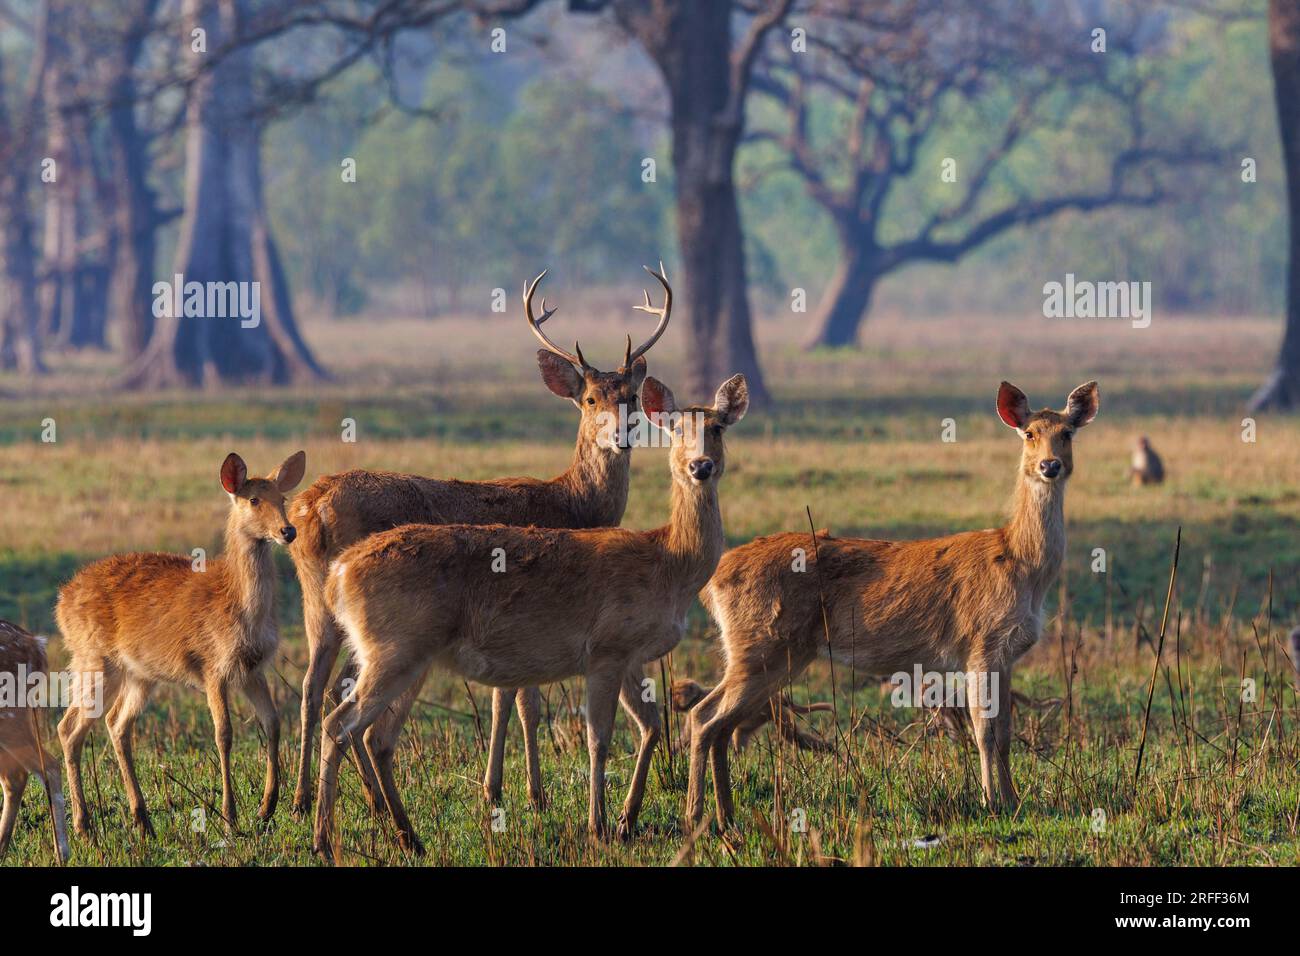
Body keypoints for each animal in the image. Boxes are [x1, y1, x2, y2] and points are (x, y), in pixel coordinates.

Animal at [56, 450, 305, 837]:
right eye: (253, 499)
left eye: (283, 498)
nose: (287, 531)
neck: (239, 605)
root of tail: (61, 600)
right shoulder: (212, 665)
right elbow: (224, 733)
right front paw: (229, 816)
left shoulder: (252, 669)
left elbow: (274, 722)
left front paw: (267, 809)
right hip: (93, 659)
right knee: (69, 728)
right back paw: (84, 826)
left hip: (139, 674)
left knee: (116, 723)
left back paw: (141, 820)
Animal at [287, 268, 672, 830]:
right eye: (589, 399)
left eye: (630, 395)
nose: (622, 434)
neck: (570, 503)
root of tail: (304, 509)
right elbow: (521, 701)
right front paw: (527, 794)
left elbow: (503, 697)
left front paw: (499, 790)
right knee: (338, 691)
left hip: (319, 602)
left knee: (315, 686)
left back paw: (302, 799)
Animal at [311, 374, 749, 861]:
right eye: (675, 429)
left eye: (718, 428)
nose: (700, 466)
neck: (670, 562)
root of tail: (339, 573)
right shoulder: (606, 649)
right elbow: (599, 738)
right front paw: (598, 826)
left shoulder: (632, 656)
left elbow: (650, 726)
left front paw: (626, 820)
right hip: (394, 650)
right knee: (340, 724)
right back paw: (324, 841)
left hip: (409, 658)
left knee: (376, 737)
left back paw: (409, 837)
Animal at [686, 381, 1099, 828]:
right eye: (1029, 433)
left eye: (1067, 433)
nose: (1049, 465)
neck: (1022, 564)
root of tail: (712, 581)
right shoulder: (981, 644)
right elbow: (984, 731)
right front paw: (994, 802)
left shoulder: (1005, 656)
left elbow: (1005, 731)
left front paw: (1014, 799)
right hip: (760, 644)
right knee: (704, 716)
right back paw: (696, 816)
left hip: (767, 652)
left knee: (718, 722)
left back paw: (725, 816)